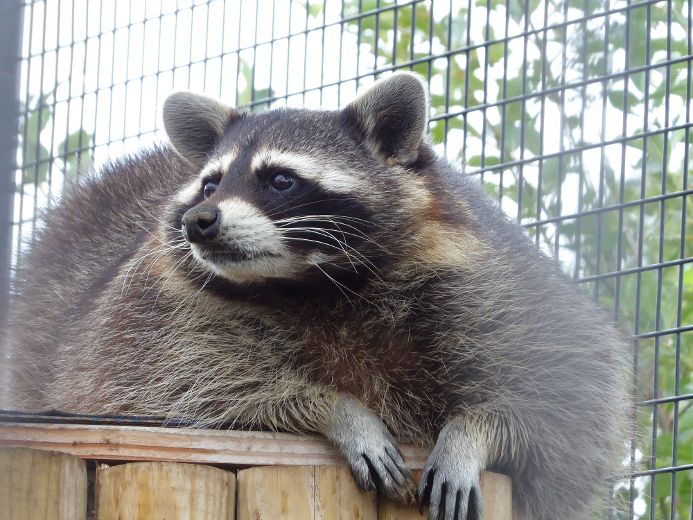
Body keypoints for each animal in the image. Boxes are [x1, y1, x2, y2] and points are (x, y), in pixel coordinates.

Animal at [6, 73, 631, 520]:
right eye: (210, 184)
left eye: (280, 180)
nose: (199, 221)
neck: (315, 281)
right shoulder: (154, 312)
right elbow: (177, 385)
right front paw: (332, 407)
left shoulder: (492, 281)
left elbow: (567, 399)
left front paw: (472, 432)